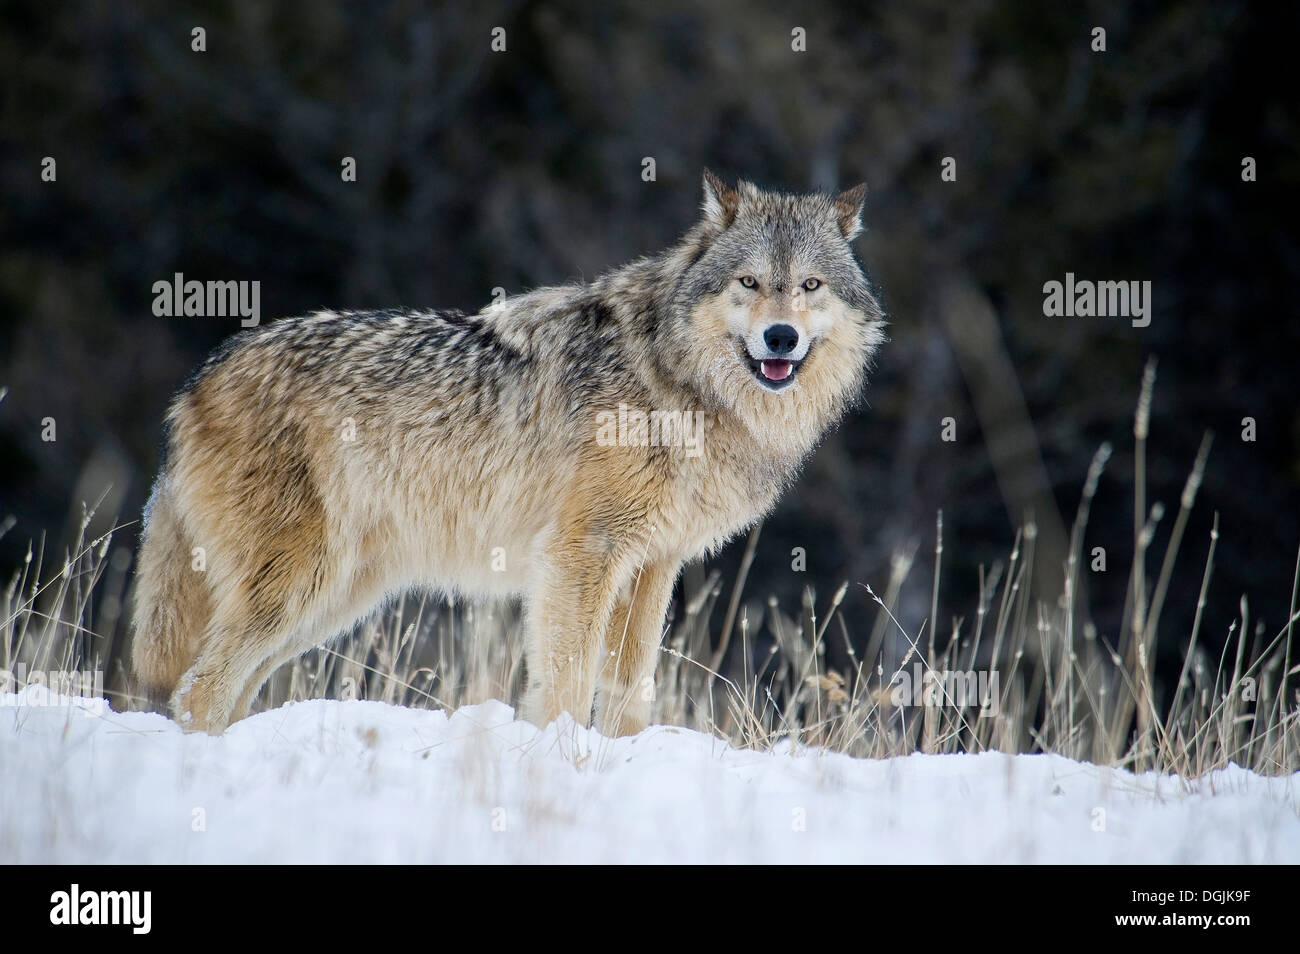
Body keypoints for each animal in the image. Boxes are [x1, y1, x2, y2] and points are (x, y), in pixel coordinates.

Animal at [130, 171, 886, 735]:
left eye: (810, 286)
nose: (782, 337)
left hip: (332, 599)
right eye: (750, 283)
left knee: (224, 690)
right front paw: (559, 757)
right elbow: (566, 683)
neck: (675, 383)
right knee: (198, 689)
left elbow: (629, 692)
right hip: (299, 586)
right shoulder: (581, 556)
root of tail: (196, 381)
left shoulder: (652, 566)